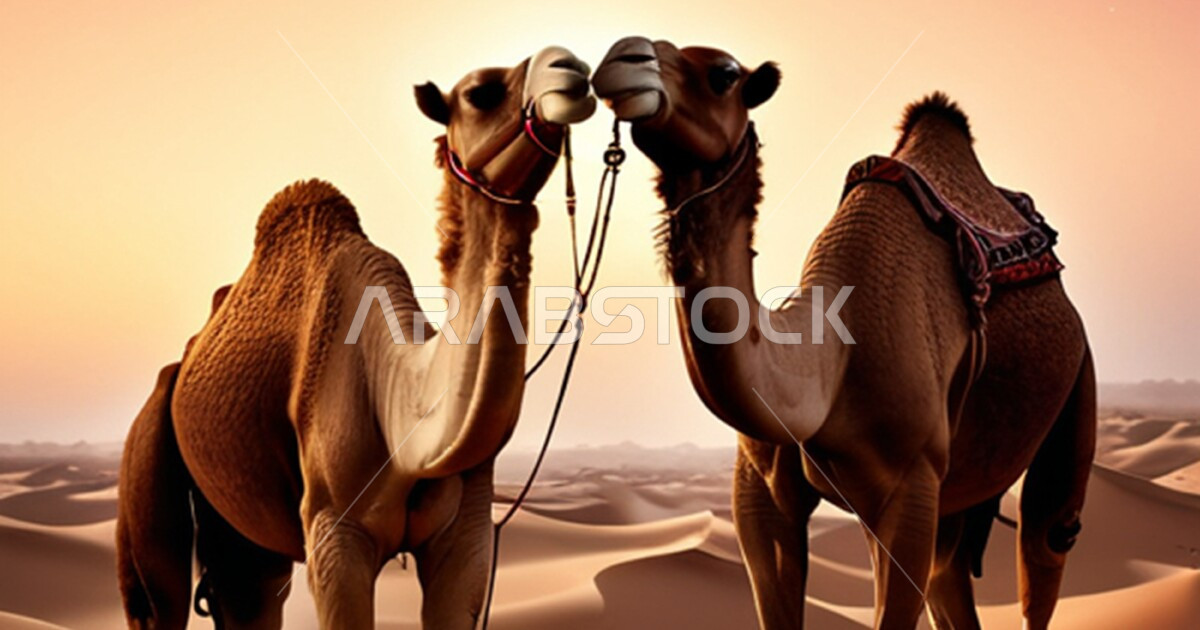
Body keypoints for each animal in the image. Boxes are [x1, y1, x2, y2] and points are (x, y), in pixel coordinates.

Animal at [116, 46, 596, 629]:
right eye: (481, 92)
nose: (572, 67)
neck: (399, 397)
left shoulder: (469, 534)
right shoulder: (333, 529)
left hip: (238, 524)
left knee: (249, 588)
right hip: (146, 456)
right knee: (157, 596)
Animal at [593, 37, 1095, 630]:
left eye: (723, 74)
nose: (622, 56)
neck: (829, 361)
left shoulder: (909, 486)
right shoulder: (760, 491)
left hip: (1077, 379)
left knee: (1050, 533)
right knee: (950, 573)